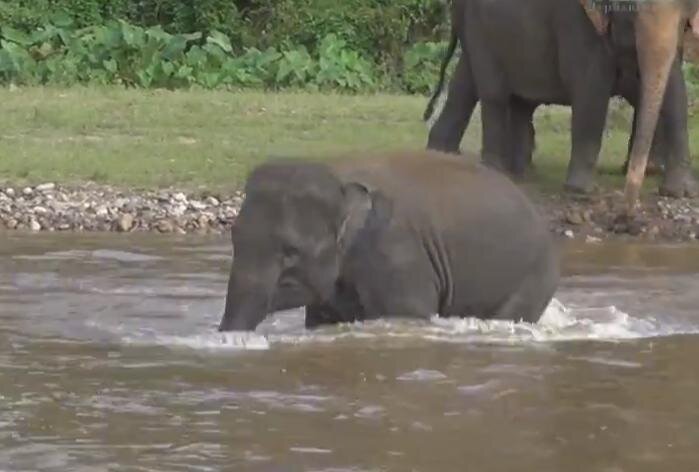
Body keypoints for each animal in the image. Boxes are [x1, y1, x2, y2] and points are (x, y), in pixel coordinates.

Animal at [423, 0, 697, 204]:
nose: (627, 214)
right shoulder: (576, 23)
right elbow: (590, 88)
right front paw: (583, 192)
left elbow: (676, 91)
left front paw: (680, 192)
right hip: (481, 30)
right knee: (494, 94)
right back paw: (496, 171)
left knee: (478, 86)